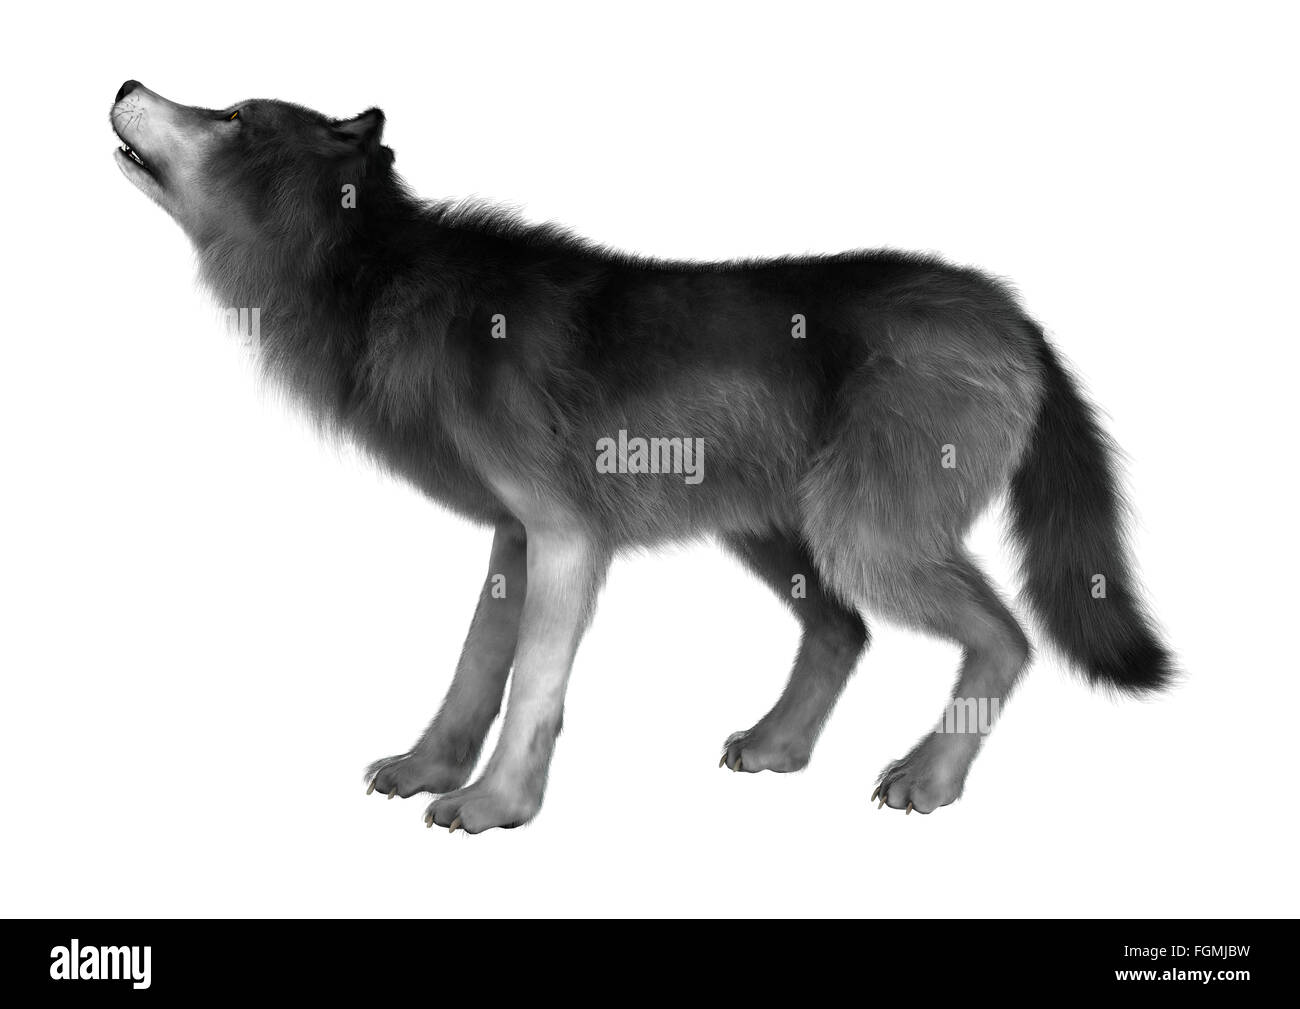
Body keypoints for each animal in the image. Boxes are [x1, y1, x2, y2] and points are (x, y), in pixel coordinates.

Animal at [110, 81, 1172, 833]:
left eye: (235, 115)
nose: (123, 80)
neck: (380, 280)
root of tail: (1020, 317)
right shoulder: (514, 537)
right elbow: (472, 673)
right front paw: (427, 772)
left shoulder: (565, 537)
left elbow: (531, 688)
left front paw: (495, 807)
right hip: (778, 539)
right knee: (845, 632)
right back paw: (778, 747)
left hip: (862, 540)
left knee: (1008, 636)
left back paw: (929, 777)